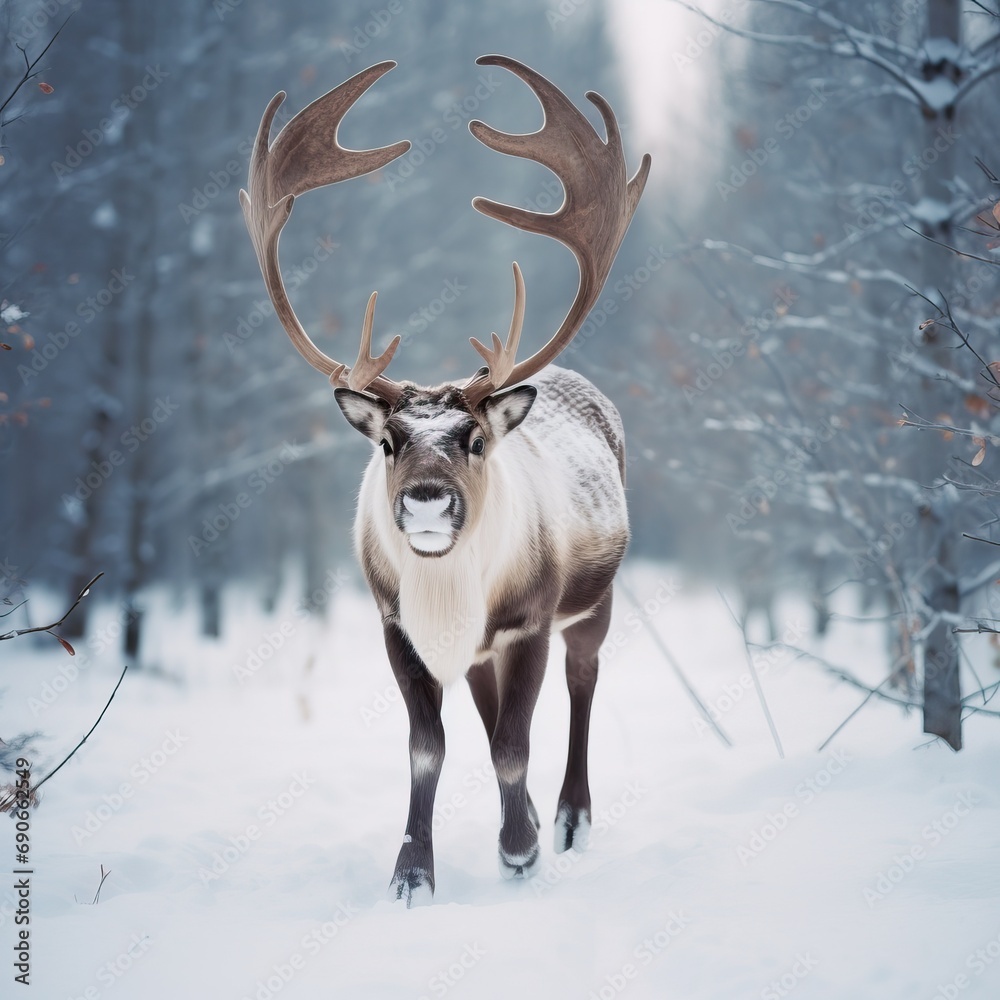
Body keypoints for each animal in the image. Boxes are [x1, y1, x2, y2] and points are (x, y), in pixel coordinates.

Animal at [240, 54, 650, 906]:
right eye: (391, 441)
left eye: (472, 438)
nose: (427, 500)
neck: (449, 592)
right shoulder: (398, 626)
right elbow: (430, 747)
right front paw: (413, 872)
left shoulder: (528, 619)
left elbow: (513, 744)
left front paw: (521, 854)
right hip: (479, 651)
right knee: (494, 716)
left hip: (592, 602)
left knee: (582, 681)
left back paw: (569, 817)